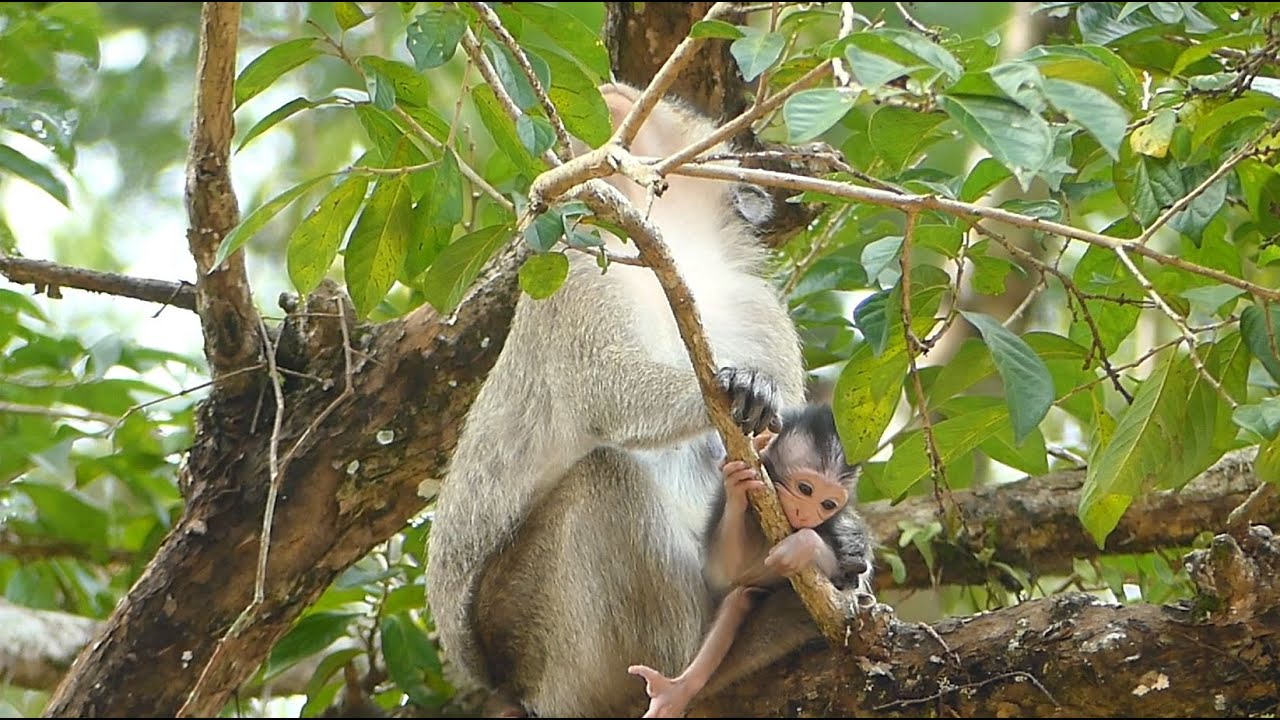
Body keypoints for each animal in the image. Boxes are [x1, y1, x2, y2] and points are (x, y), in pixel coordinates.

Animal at [628, 404, 875, 718]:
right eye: (805, 489)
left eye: (828, 504)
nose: (806, 514)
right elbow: (730, 570)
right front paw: (737, 487)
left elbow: (840, 573)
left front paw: (803, 545)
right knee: (739, 599)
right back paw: (677, 691)